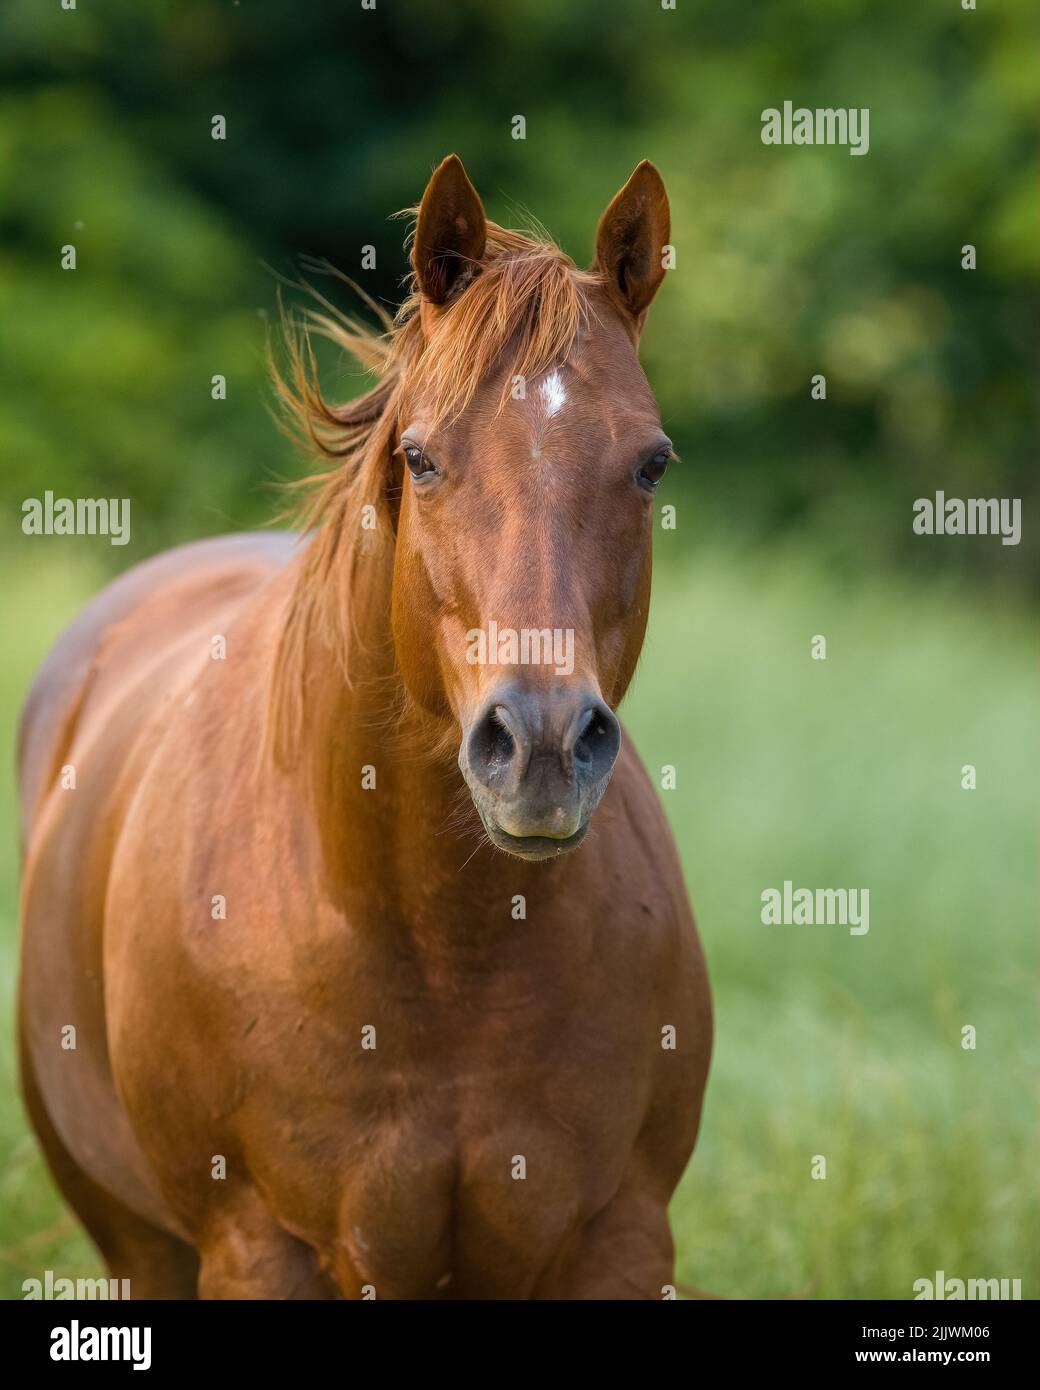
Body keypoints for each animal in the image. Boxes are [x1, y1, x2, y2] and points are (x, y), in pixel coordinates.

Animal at [17, 155, 712, 1299]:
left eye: (651, 463)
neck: (447, 957)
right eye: (421, 458)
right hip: (140, 1248)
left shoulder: (620, 1244)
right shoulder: (261, 1251)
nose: (541, 746)